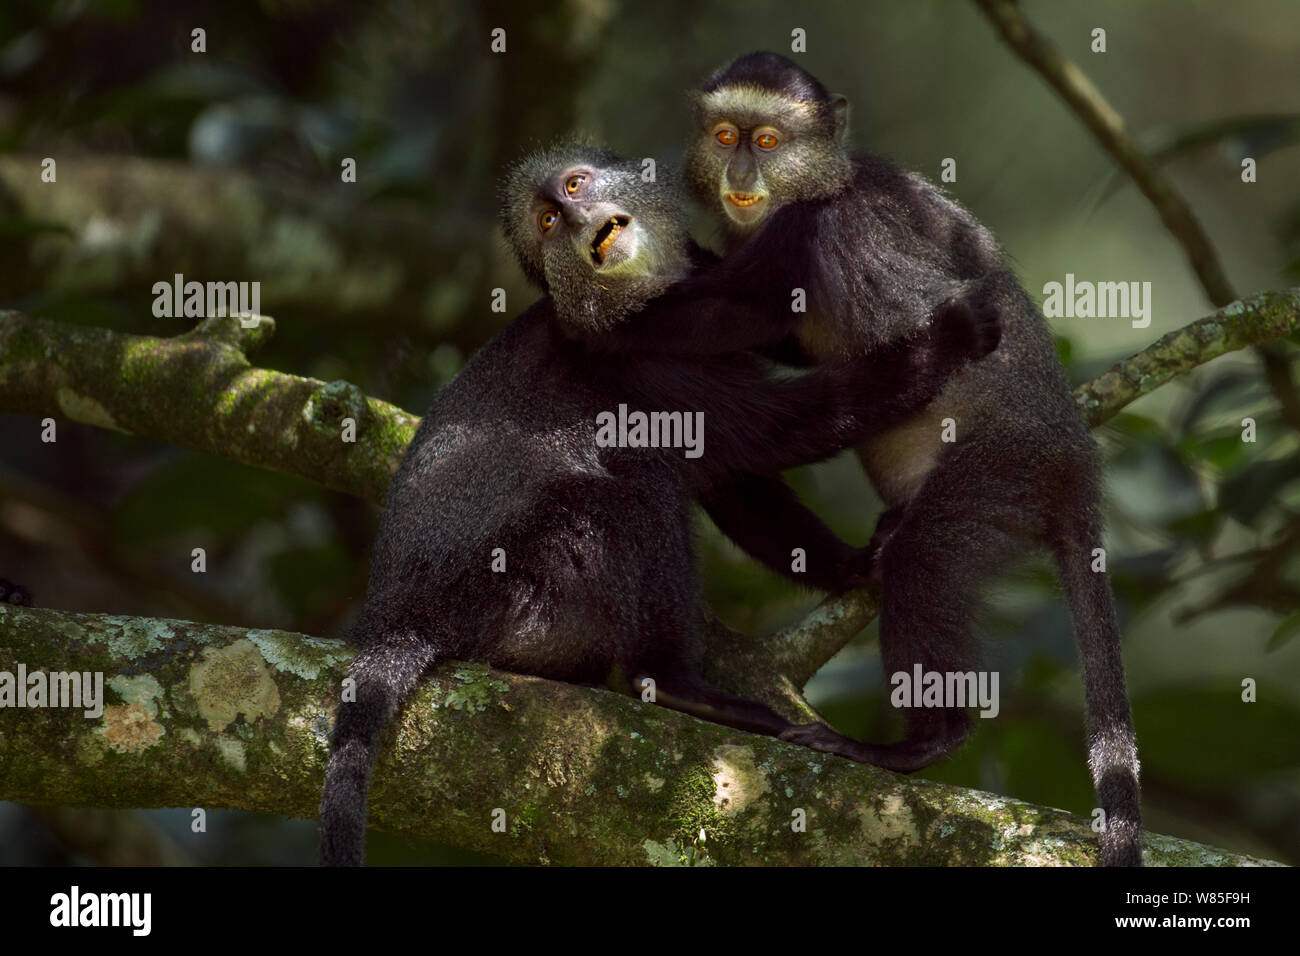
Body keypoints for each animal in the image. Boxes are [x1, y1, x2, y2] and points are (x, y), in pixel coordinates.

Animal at [319, 142, 1001, 865]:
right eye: (546, 222)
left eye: (574, 187)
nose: (574, 219)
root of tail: (404, 617)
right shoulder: (642, 358)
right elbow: (773, 432)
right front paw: (945, 342)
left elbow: (735, 478)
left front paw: (855, 563)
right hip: (516, 598)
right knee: (627, 493)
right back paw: (675, 684)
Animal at [592, 52, 1141, 867]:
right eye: (725, 135)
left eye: (767, 139)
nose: (741, 171)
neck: (824, 181)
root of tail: (1074, 458)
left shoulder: (819, 231)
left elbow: (740, 323)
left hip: (998, 472)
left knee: (924, 562)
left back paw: (918, 744)